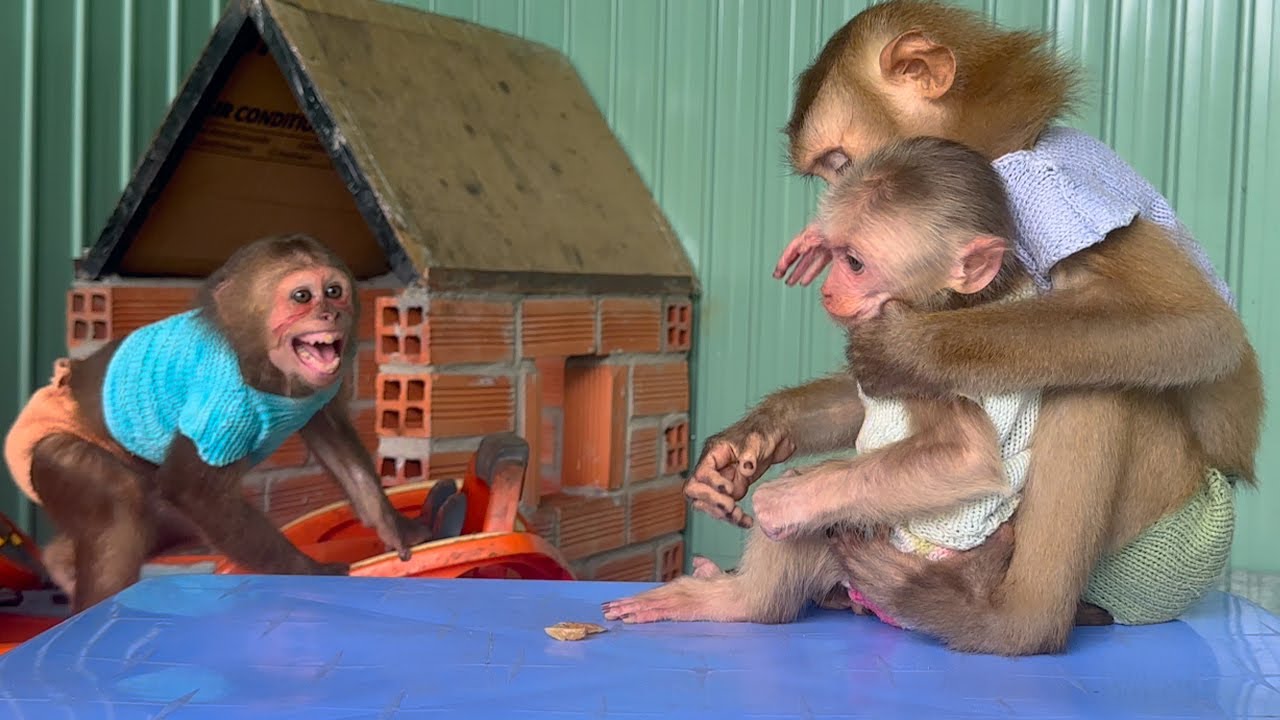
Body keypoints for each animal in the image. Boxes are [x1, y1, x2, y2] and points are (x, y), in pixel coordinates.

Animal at [3, 234, 435, 612]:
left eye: (333, 291)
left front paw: (393, 524)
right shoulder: (221, 403)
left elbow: (333, 438)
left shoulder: (315, 393)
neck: (261, 361)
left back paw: (60, 561)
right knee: (118, 499)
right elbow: (193, 491)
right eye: (302, 297)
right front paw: (309, 574)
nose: (331, 313)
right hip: (47, 452)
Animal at [604, 136, 1134, 628]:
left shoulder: (911, 344)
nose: (828, 289)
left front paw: (784, 497)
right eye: (834, 255)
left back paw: (735, 601)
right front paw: (748, 443)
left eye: (854, 264)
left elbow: (964, 456)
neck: (968, 298)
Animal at [684, 0, 1260, 654]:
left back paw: (1008, 619)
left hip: (1172, 544)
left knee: (1100, 379)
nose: (830, 218)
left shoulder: (1046, 187)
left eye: (840, 163)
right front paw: (752, 440)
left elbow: (1199, 328)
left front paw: (906, 351)